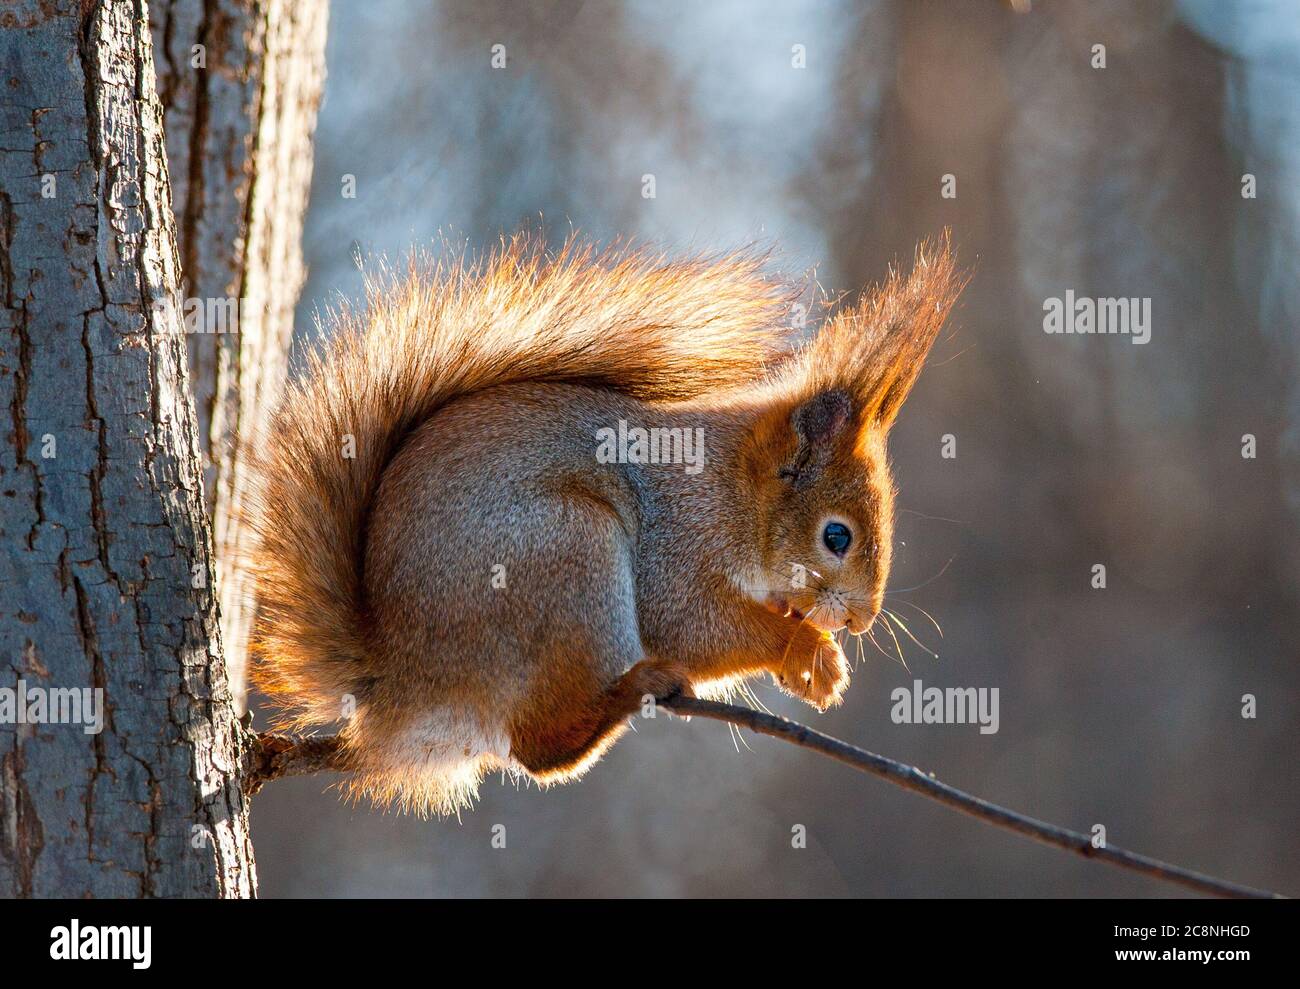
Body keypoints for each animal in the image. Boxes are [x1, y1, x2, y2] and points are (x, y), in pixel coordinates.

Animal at [249, 234, 963, 815]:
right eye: (836, 536)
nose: (862, 621)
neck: (733, 486)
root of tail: (401, 689)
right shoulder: (677, 541)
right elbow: (691, 622)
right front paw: (808, 650)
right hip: (569, 556)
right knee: (540, 746)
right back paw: (630, 692)